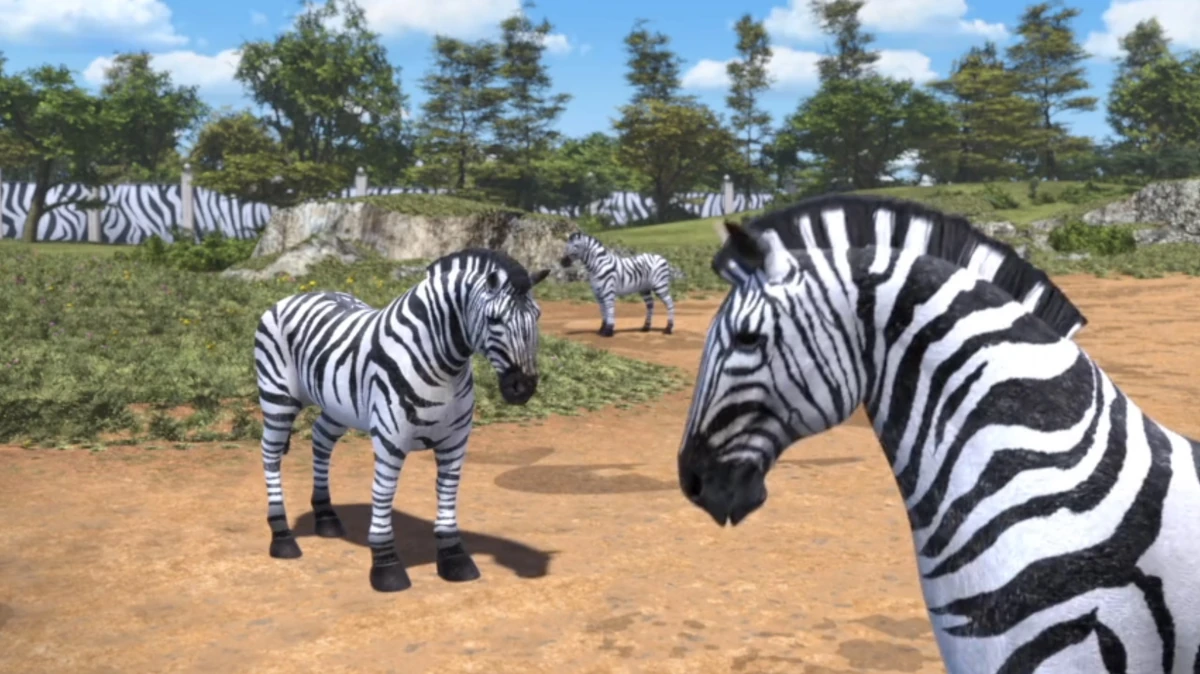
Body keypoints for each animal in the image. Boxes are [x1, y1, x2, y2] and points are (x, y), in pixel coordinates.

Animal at [254, 248, 550, 593]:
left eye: (537, 317)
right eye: (494, 320)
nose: (523, 388)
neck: (444, 366)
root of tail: (297, 295)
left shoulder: (456, 441)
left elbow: (448, 493)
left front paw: (454, 558)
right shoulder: (390, 440)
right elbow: (384, 493)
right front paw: (386, 567)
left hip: (337, 406)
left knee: (320, 440)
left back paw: (326, 518)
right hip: (278, 398)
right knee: (270, 455)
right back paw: (282, 537)